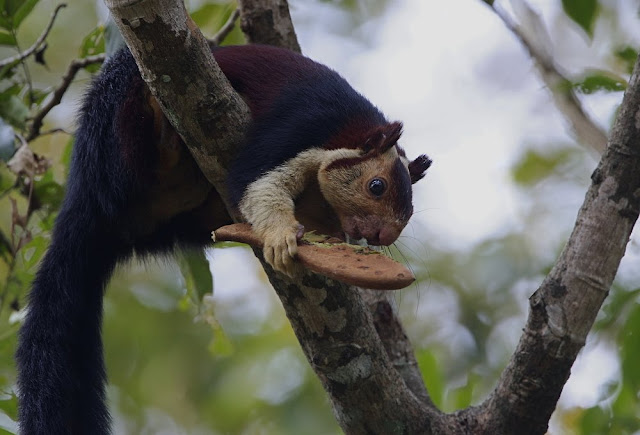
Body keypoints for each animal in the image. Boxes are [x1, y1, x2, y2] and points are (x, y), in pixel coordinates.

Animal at [15, 44, 431, 434]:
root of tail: (86, 201)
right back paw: (164, 132)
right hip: (117, 129)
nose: (383, 235)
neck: (347, 129)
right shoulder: (300, 126)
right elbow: (256, 183)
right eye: (376, 186)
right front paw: (280, 240)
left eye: (409, 212)